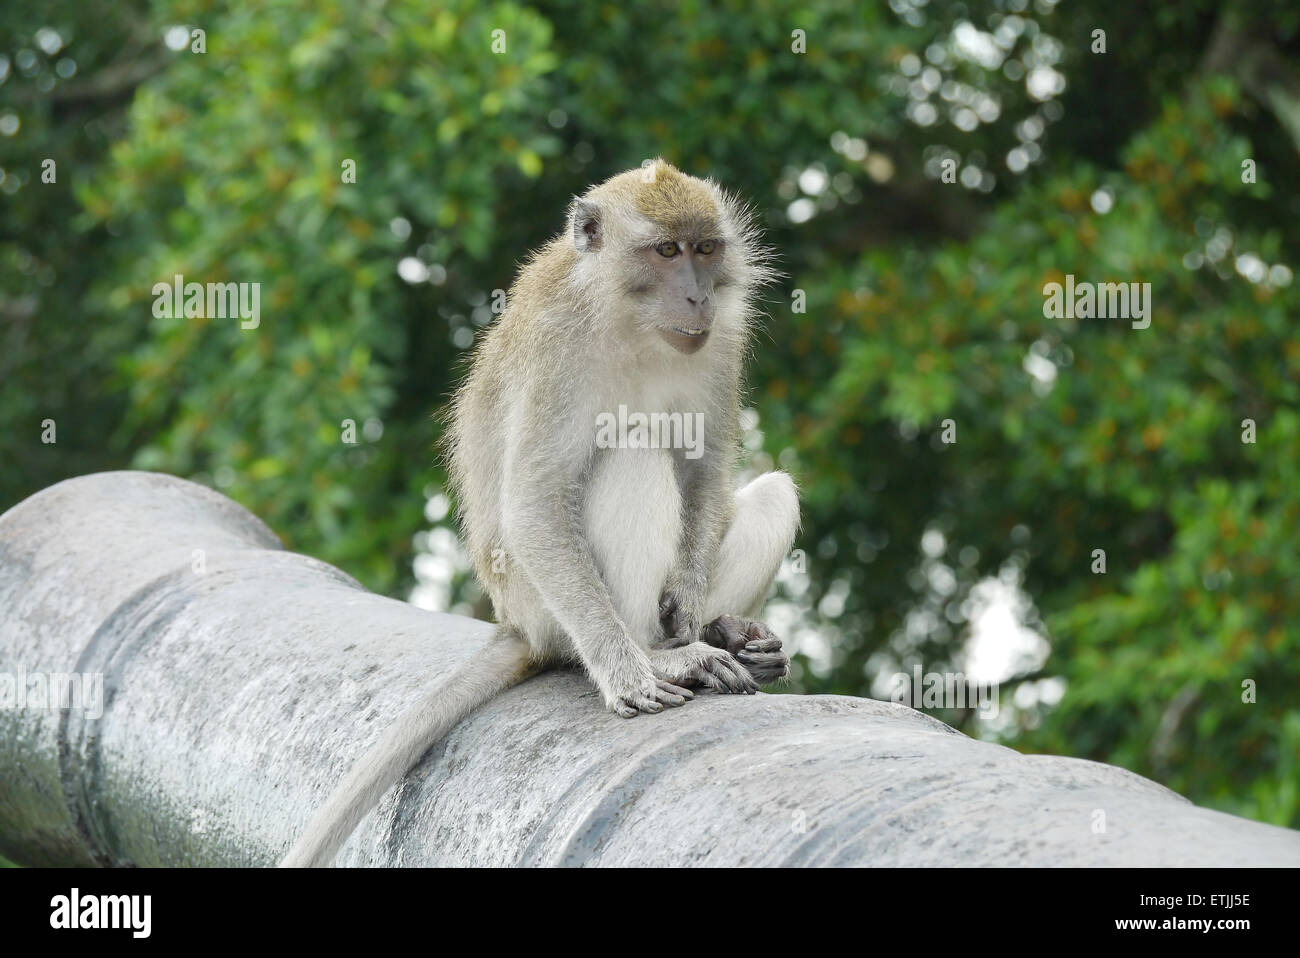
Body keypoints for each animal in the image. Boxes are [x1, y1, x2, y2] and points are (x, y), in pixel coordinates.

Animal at [280, 159, 800, 868]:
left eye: (705, 249)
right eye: (666, 251)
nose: (698, 298)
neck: (629, 322)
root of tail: (512, 622)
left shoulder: (722, 339)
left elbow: (707, 467)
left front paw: (692, 600)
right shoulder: (558, 349)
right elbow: (533, 505)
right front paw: (630, 669)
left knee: (772, 492)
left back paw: (721, 634)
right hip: (543, 607)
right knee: (632, 454)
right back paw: (657, 654)